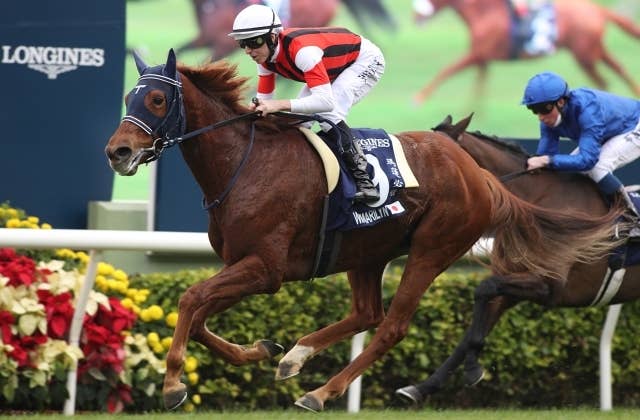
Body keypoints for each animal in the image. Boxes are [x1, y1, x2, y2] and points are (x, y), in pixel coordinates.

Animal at [395, 114, 640, 405]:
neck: (535, 204)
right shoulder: (512, 285)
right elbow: (471, 331)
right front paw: (421, 388)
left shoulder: (550, 286)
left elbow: (484, 288)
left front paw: (471, 369)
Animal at [411, 0, 640, 104]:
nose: (416, 16)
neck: (485, 11)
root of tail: (599, 10)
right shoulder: (482, 59)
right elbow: (479, 86)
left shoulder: (476, 55)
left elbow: (446, 70)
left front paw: (419, 98)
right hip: (593, 51)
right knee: (617, 71)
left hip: (585, 55)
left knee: (607, 77)